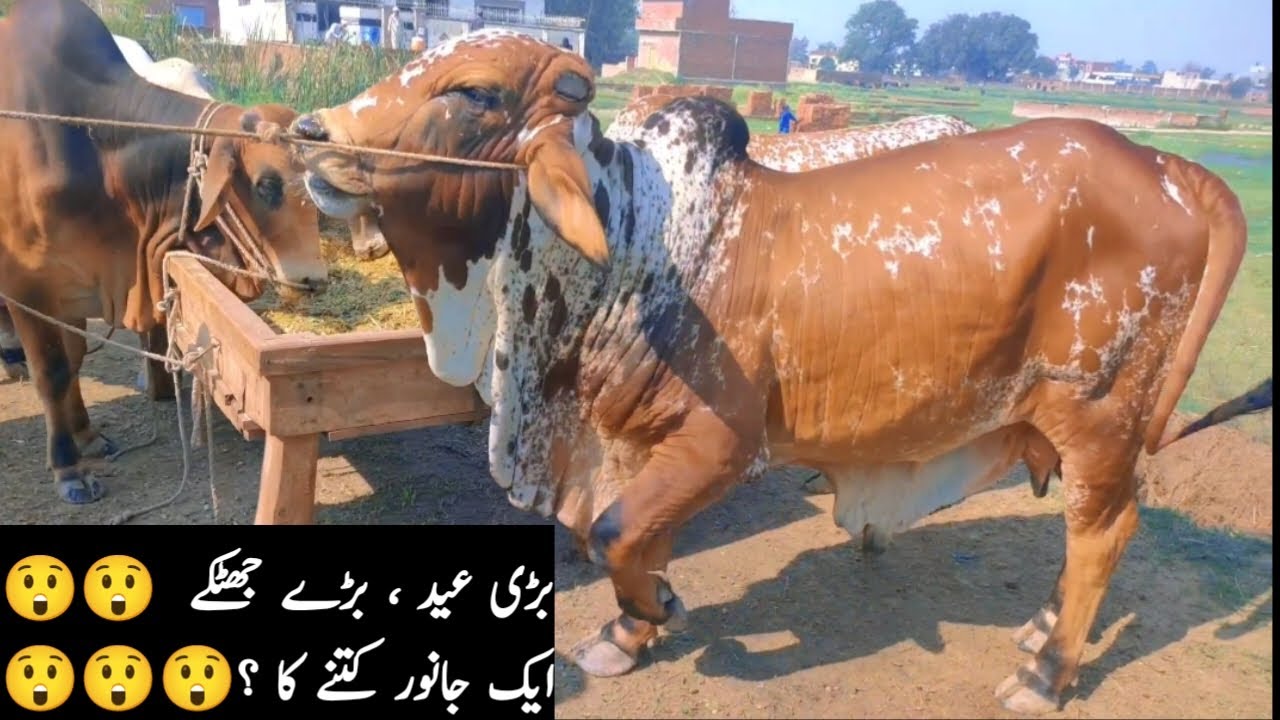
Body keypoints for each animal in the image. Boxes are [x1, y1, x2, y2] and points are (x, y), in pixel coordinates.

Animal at [0, 0, 329, 506]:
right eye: (266, 184)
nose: (313, 278)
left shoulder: (73, 288)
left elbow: (74, 361)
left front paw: (87, 435)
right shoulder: (28, 288)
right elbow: (53, 373)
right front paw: (68, 468)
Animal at [288, 30, 1256, 714]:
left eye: (473, 92)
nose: (306, 132)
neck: (630, 241)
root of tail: (1171, 166)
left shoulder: (724, 444)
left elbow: (614, 535)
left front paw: (652, 615)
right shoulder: (632, 438)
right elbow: (629, 531)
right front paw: (634, 629)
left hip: (1097, 414)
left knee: (1105, 528)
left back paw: (1050, 672)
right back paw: (1046, 628)